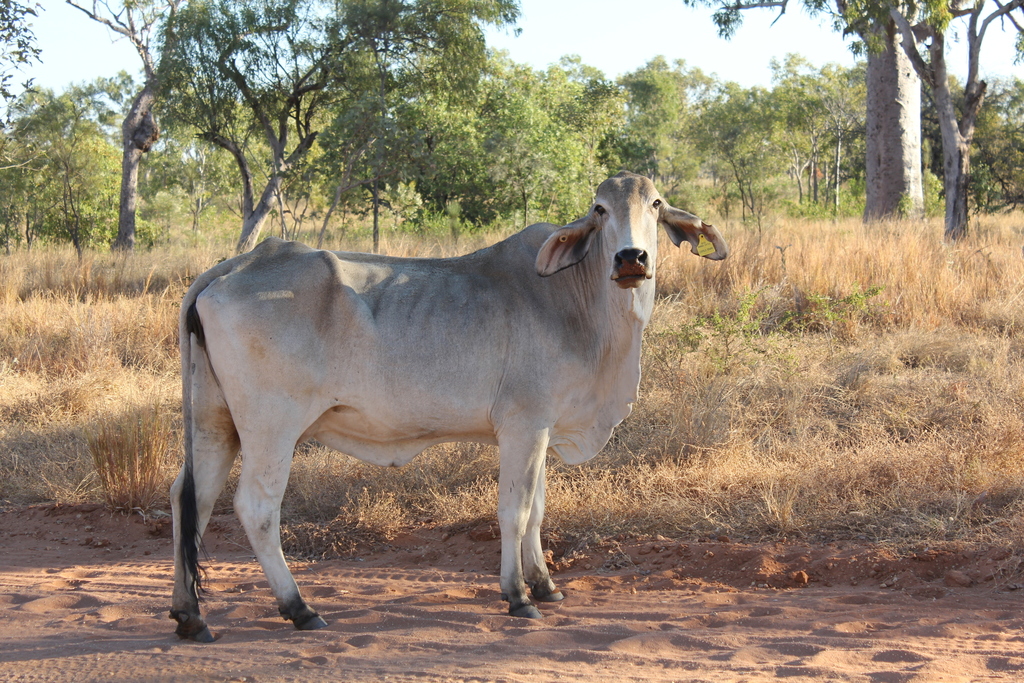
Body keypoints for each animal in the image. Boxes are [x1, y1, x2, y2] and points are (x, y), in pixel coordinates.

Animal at [169, 171, 728, 642]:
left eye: (655, 204)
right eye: (599, 209)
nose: (632, 258)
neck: (576, 301)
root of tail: (231, 266)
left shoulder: (542, 431)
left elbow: (538, 510)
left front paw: (545, 584)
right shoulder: (524, 426)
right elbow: (514, 511)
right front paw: (518, 595)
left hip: (215, 423)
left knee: (190, 499)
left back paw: (190, 614)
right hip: (272, 428)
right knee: (256, 507)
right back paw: (299, 607)